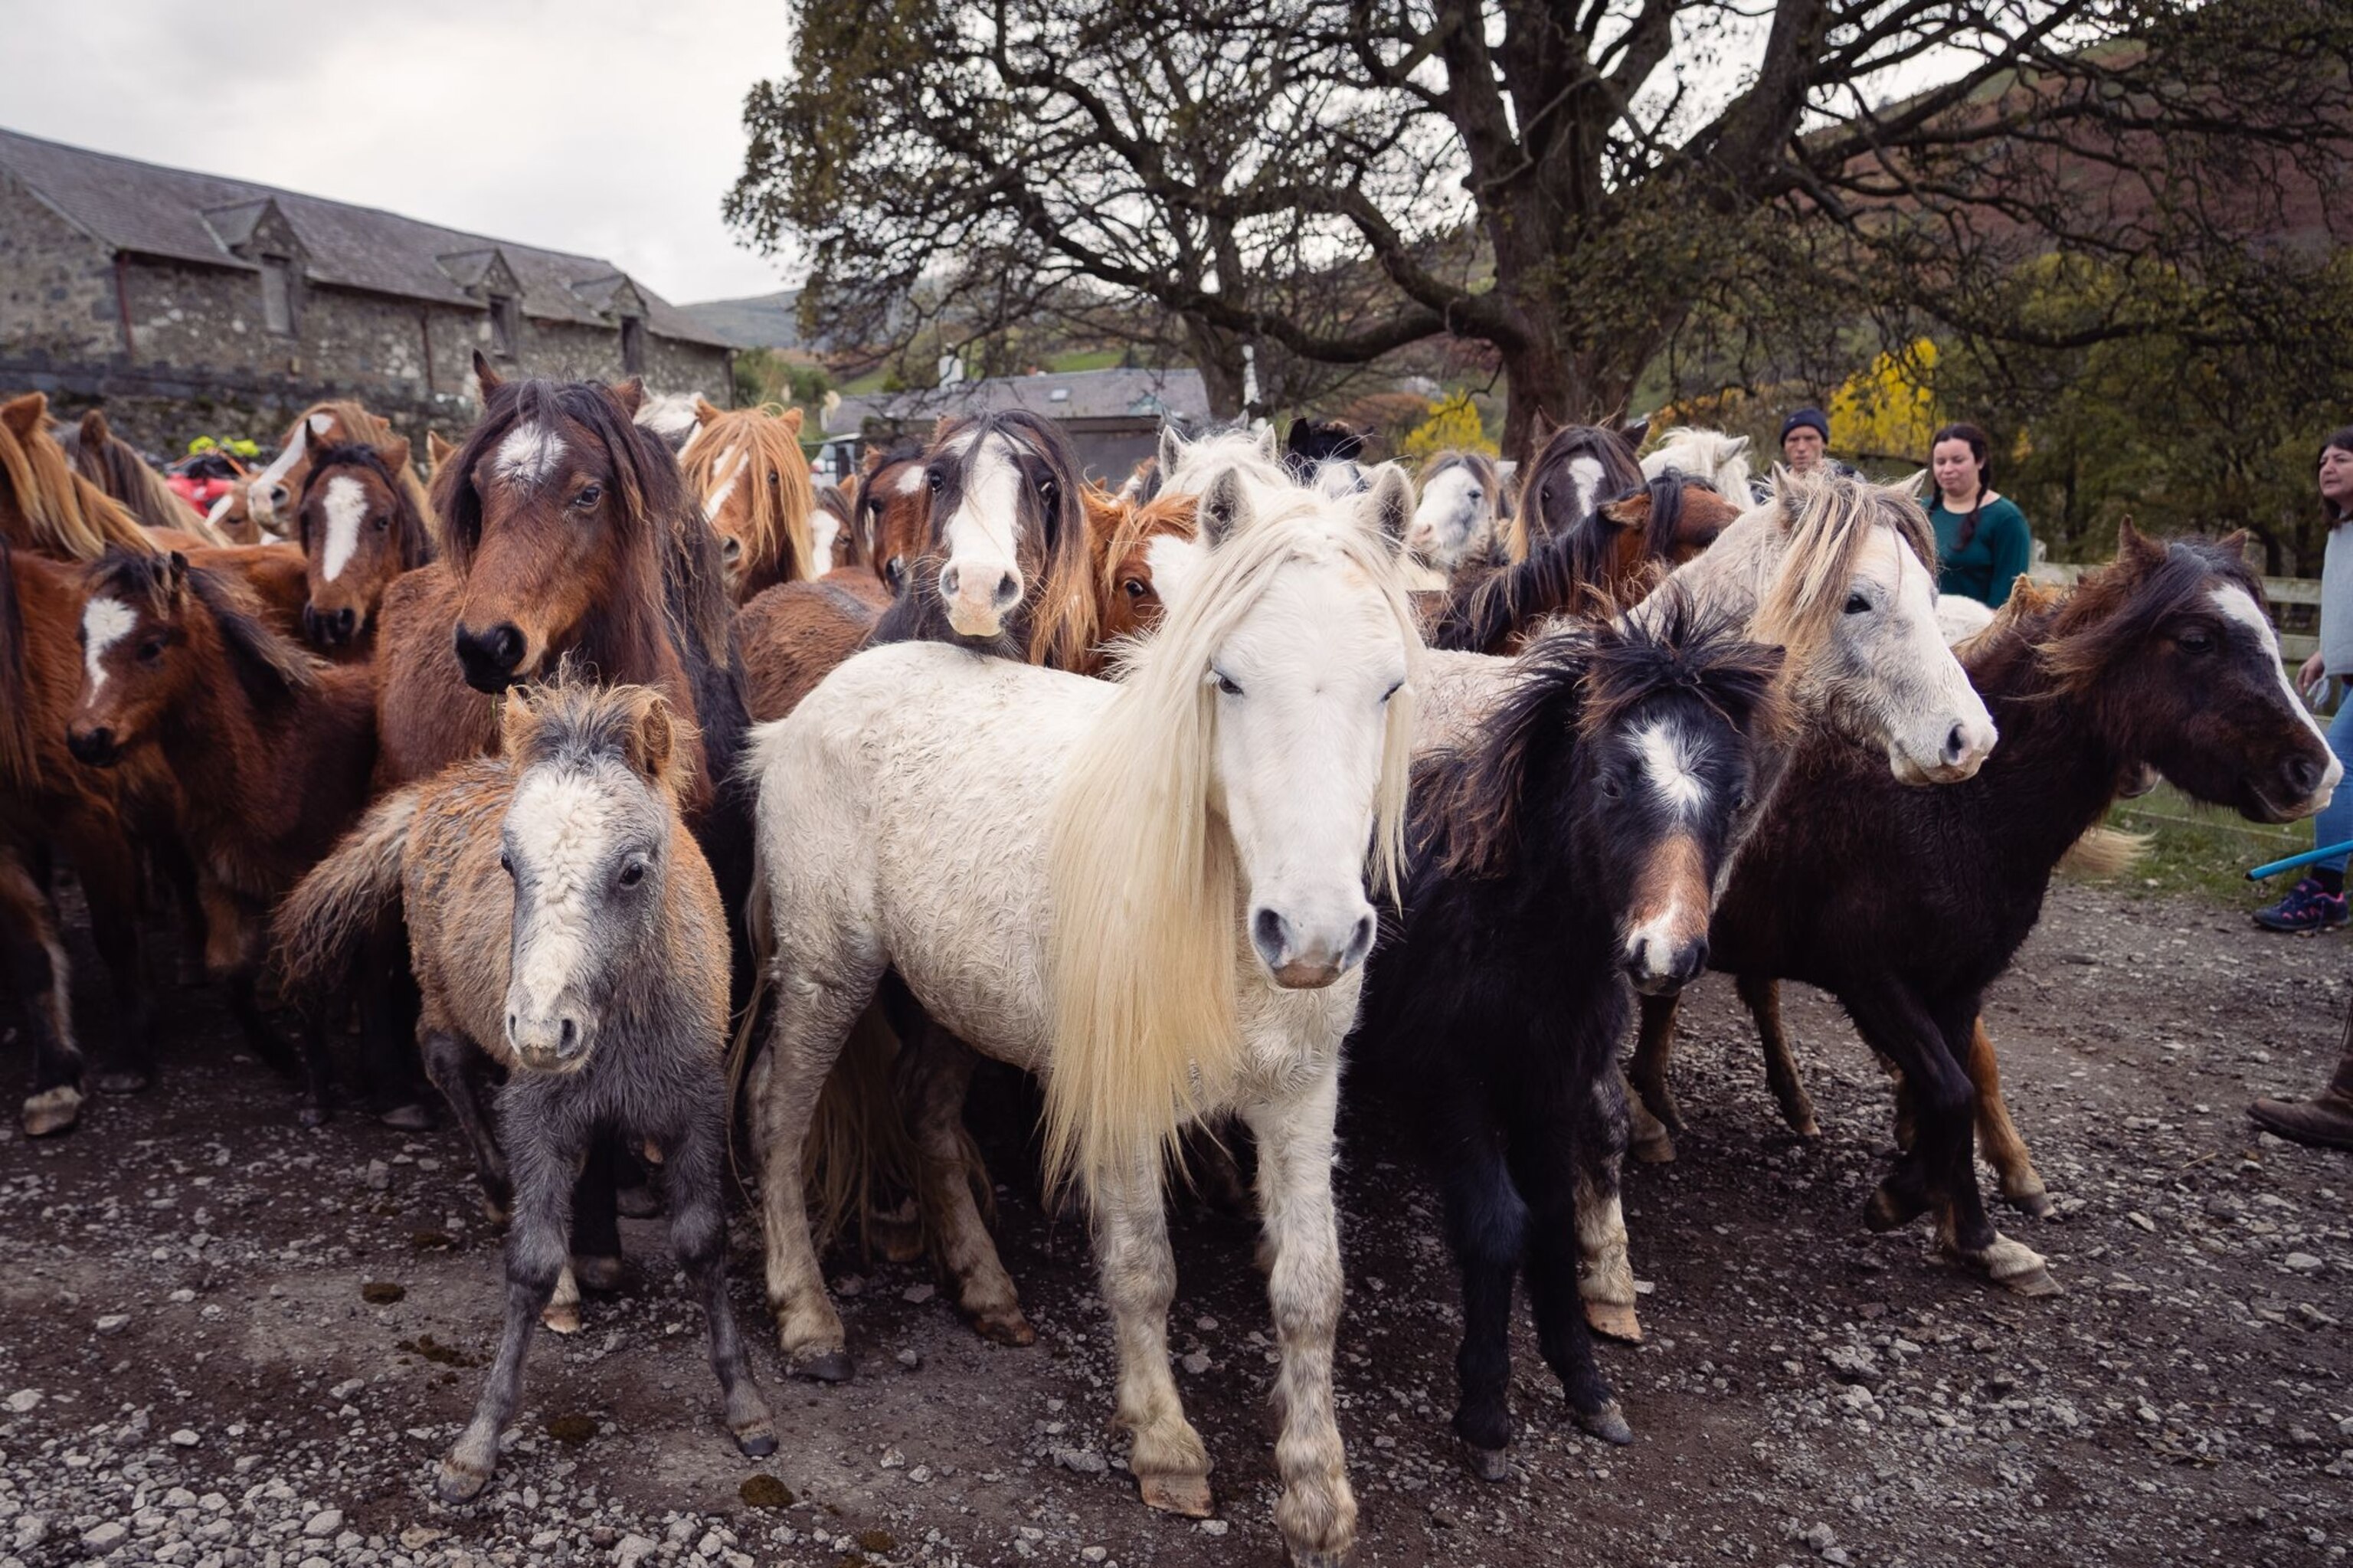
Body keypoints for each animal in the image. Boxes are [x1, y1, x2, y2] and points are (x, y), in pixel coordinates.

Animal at [66, 548, 379, 1122]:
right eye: (83, 640)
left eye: (152, 645)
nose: (87, 739)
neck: (278, 757)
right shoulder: (222, 883)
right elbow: (230, 977)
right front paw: (283, 1059)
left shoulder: (300, 890)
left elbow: (301, 979)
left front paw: (319, 1091)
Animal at [273, 680, 776, 1499]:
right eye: (508, 862)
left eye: (633, 870)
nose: (542, 1028)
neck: (619, 1022)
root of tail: (433, 788)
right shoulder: (539, 1108)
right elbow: (532, 1261)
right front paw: (476, 1444)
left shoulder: (692, 1108)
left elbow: (702, 1243)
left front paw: (746, 1405)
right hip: (443, 997)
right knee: (444, 1060)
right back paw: (507, 1201)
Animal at [741, 464, 1423, 1566]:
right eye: (1229, 679)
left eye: (1389, 686)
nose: (1315, 936)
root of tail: (811, 709)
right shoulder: (1123, 1105)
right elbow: (1143, 1269)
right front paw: (1166, 1446)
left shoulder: (1299, 1097)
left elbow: (1310, 1288)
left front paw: (1318, 1495)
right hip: (826, 972)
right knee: (778, 1115)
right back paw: (807, 1317)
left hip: (959, 998)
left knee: (926, 1110)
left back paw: (986, 1289)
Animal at [1348, 595, 1787, 1477]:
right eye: (1614, 783)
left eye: (1734, 799)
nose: (1667, 952)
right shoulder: (1451, 1081)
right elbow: (1496, 1225)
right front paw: (1486, 1415)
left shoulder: (1549, 1084)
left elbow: (1553, 1220)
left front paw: (1587, 1386)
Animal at [1624, 528, 2339, 1297]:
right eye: (2199, 638)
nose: (2318, 773)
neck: (1953, 809)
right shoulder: (1871, 978)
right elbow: (1951, 1090)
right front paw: (1928, 1207)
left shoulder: (1957, 986)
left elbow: (1957, 1087)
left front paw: (1961, 1223)